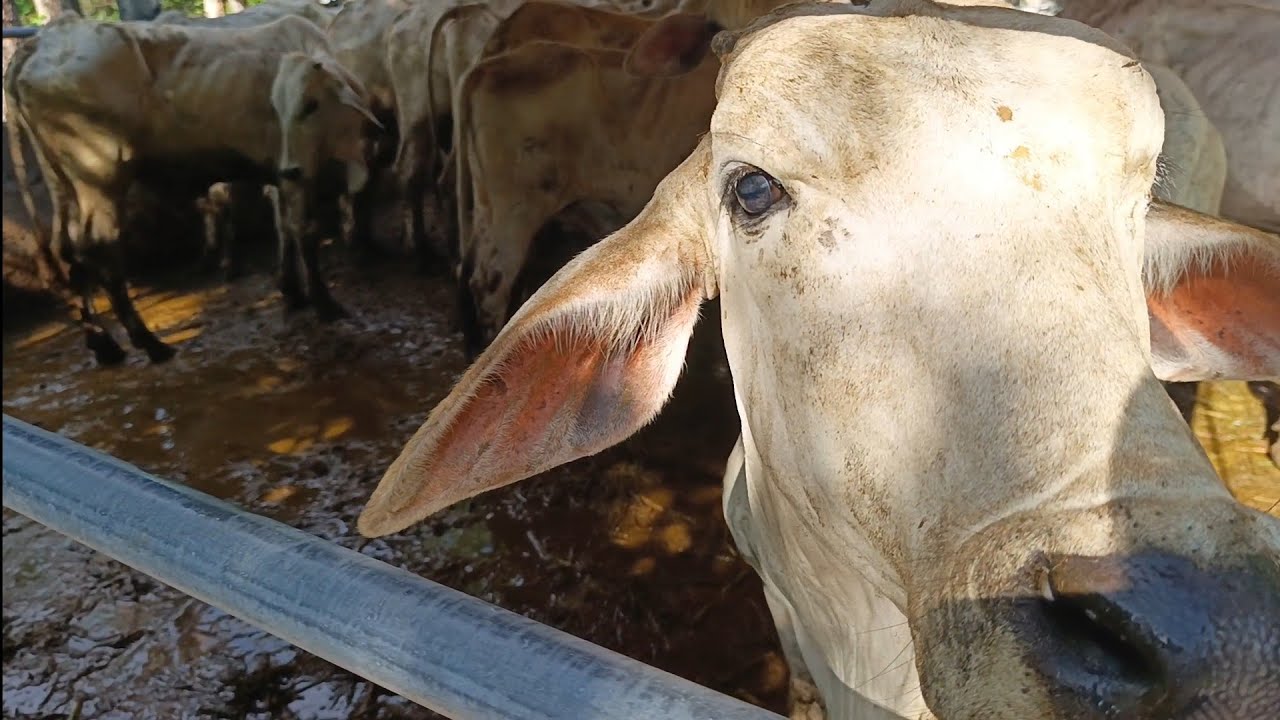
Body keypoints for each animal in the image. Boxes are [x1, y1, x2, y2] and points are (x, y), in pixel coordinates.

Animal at [6, 14, 379, 365]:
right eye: (292, 106)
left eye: (311, 106)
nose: (290, 165)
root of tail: (44, 39)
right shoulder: (297, 175)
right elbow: (304, 231)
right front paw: (325, 304)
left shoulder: (280, 173)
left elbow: (284, 227)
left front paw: (293, 292)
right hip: (98, 176)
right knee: (100, 249)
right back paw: (151, 344)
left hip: (61, 180)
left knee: (68, 250)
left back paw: (104, 345)